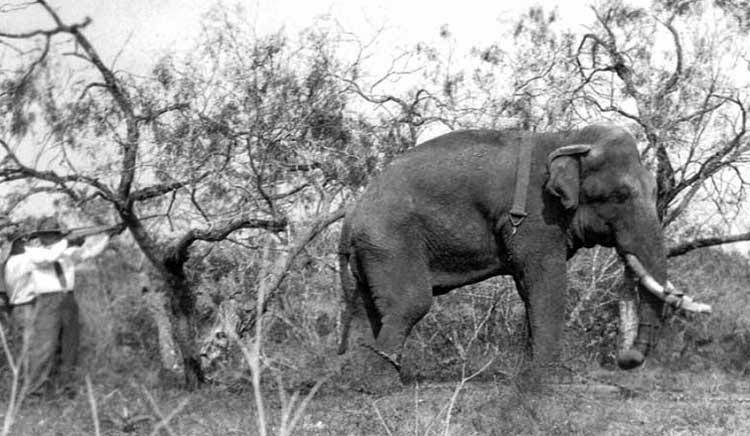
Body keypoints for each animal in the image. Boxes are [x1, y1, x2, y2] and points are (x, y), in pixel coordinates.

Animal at [337, 124, 709, 377]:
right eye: (620, 195)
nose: (626, 360)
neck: (569, 138)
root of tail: (351, 215)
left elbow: (529, 288)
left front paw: (529, 372)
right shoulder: (535, 216)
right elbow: (547, 282)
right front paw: (548, 379)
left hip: (371, 251)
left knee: (364, 309)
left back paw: (354, 379)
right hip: (390, 240)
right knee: (410, 304)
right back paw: (381, 384)